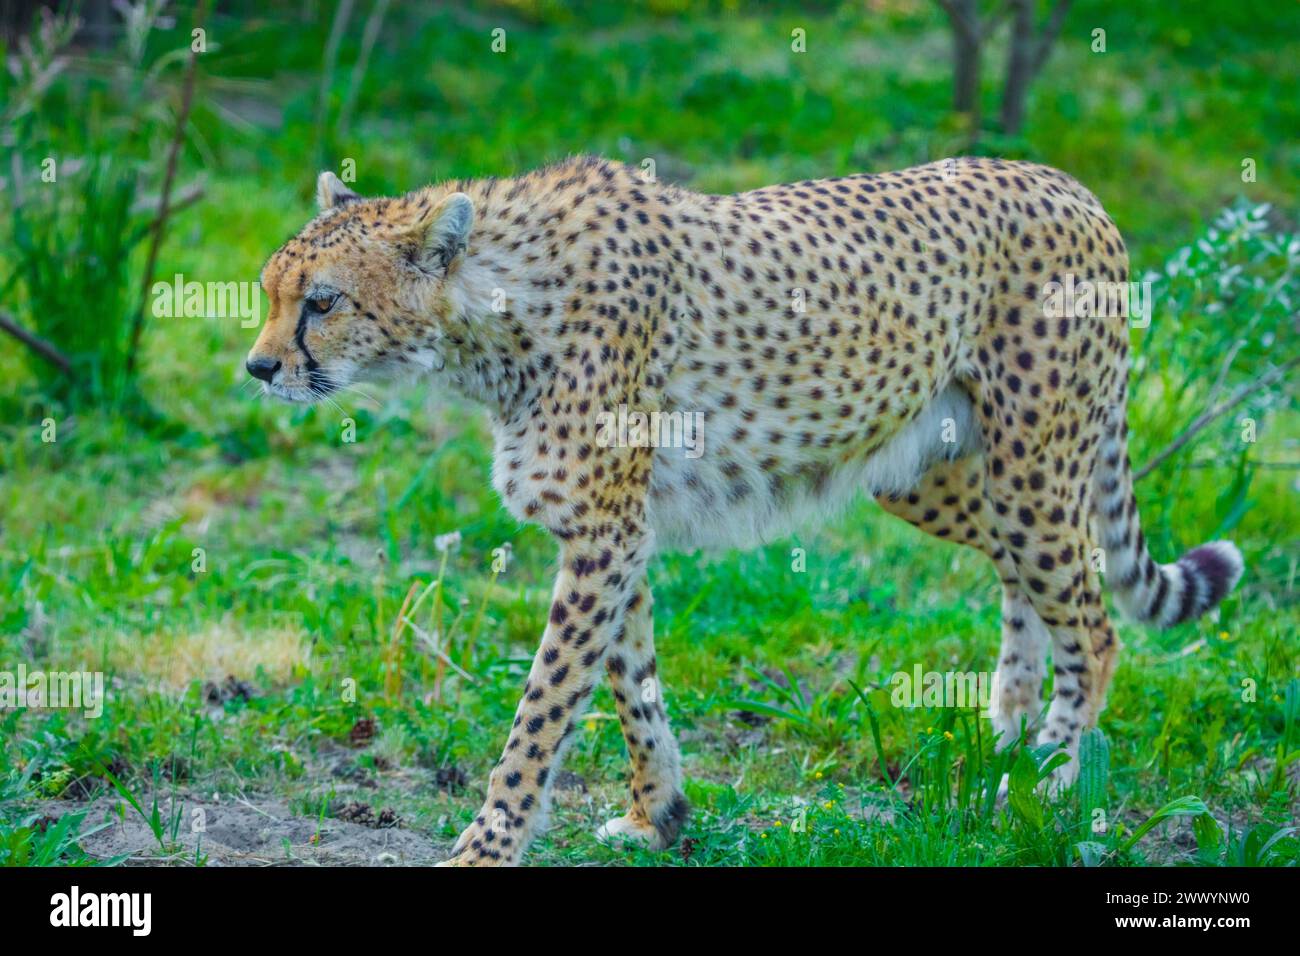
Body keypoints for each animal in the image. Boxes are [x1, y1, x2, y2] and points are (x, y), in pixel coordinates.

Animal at [246, 156, 1244, 865]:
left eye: (323, 302)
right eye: (268, 292)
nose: (258, 368)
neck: (493, 311)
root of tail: (1066, 182)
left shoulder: (604, 531)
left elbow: (543, 710)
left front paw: (486, 848)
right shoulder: (617, 529)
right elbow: (631, 682)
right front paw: (659, 817)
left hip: (1036, 462)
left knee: (1095, 623)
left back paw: (1050, 779)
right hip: (935, 471)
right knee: (1034, 578)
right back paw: (1007, 727)